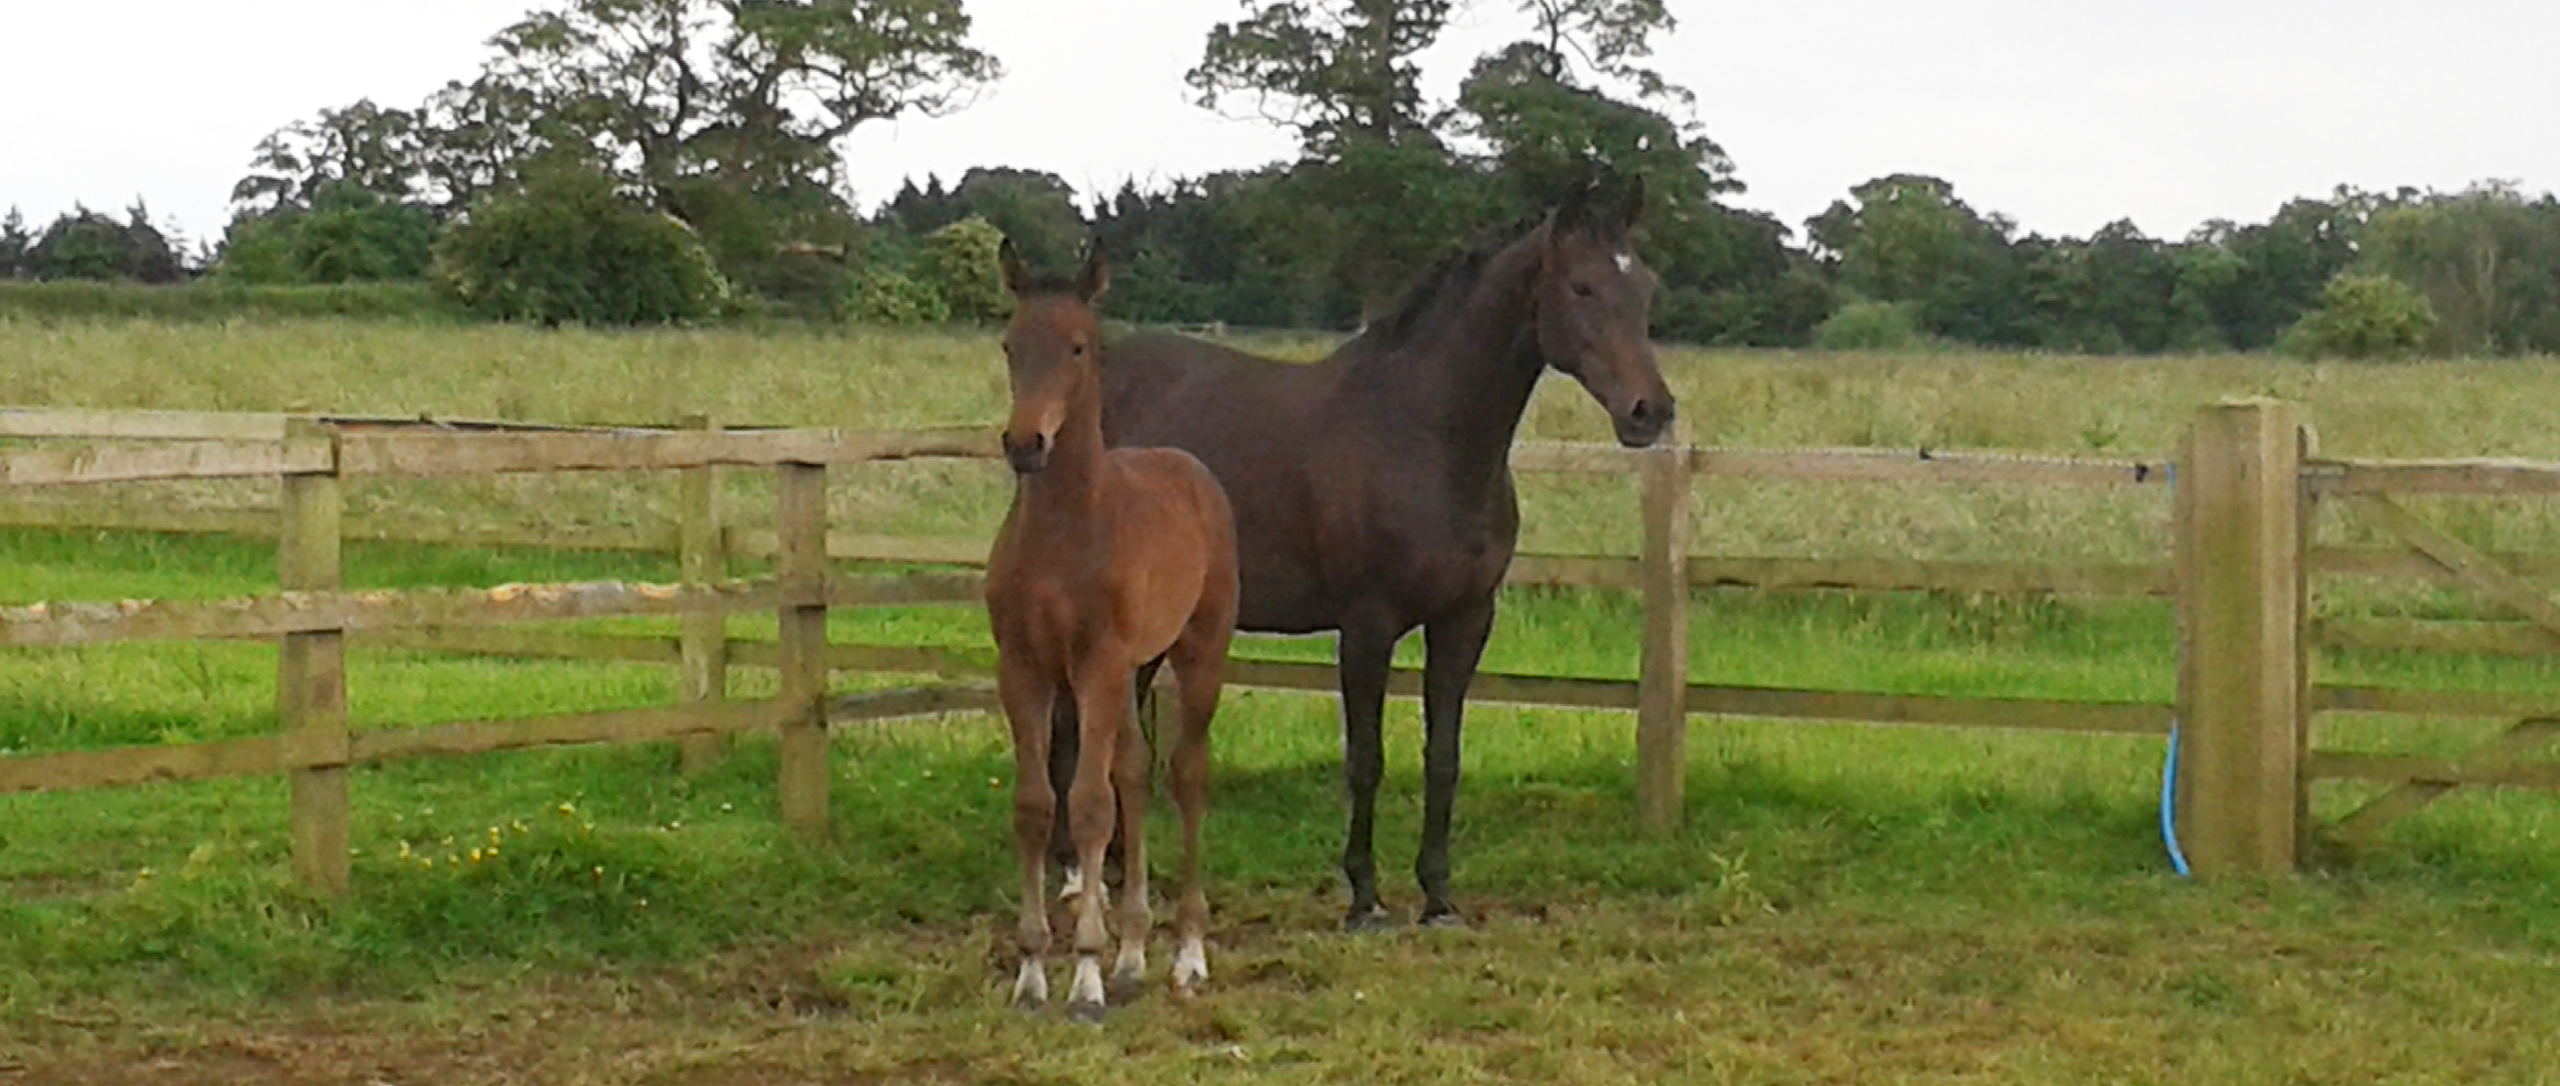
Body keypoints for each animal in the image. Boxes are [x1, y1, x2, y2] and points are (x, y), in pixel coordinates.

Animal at [983, 237, 1240, 1022]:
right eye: (1010, 344)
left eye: (1078, 346)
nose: (1025, 443)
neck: (1069, 535)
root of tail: (1192, 469)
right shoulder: (1025, 668)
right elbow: (1038, 805)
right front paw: (1034, 972)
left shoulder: (1094, 664)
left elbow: (1091, 806)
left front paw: (1086, 979)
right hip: (1135, 669)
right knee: (1135, 769)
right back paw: (1134, 956)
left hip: (1197, 654)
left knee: (1187, 774)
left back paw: (1186, 954)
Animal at [1053, 175, 1674, 931]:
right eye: (1582, 286)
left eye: (1643, 284)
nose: (1650, 411)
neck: (1423, 436)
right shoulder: (1368, 625)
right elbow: (1366, 760)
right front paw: (1364, 898)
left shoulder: (1465, 620)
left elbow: (1443, 757)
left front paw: (1437, 897)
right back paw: (1076, 876)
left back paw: (1117, 867)